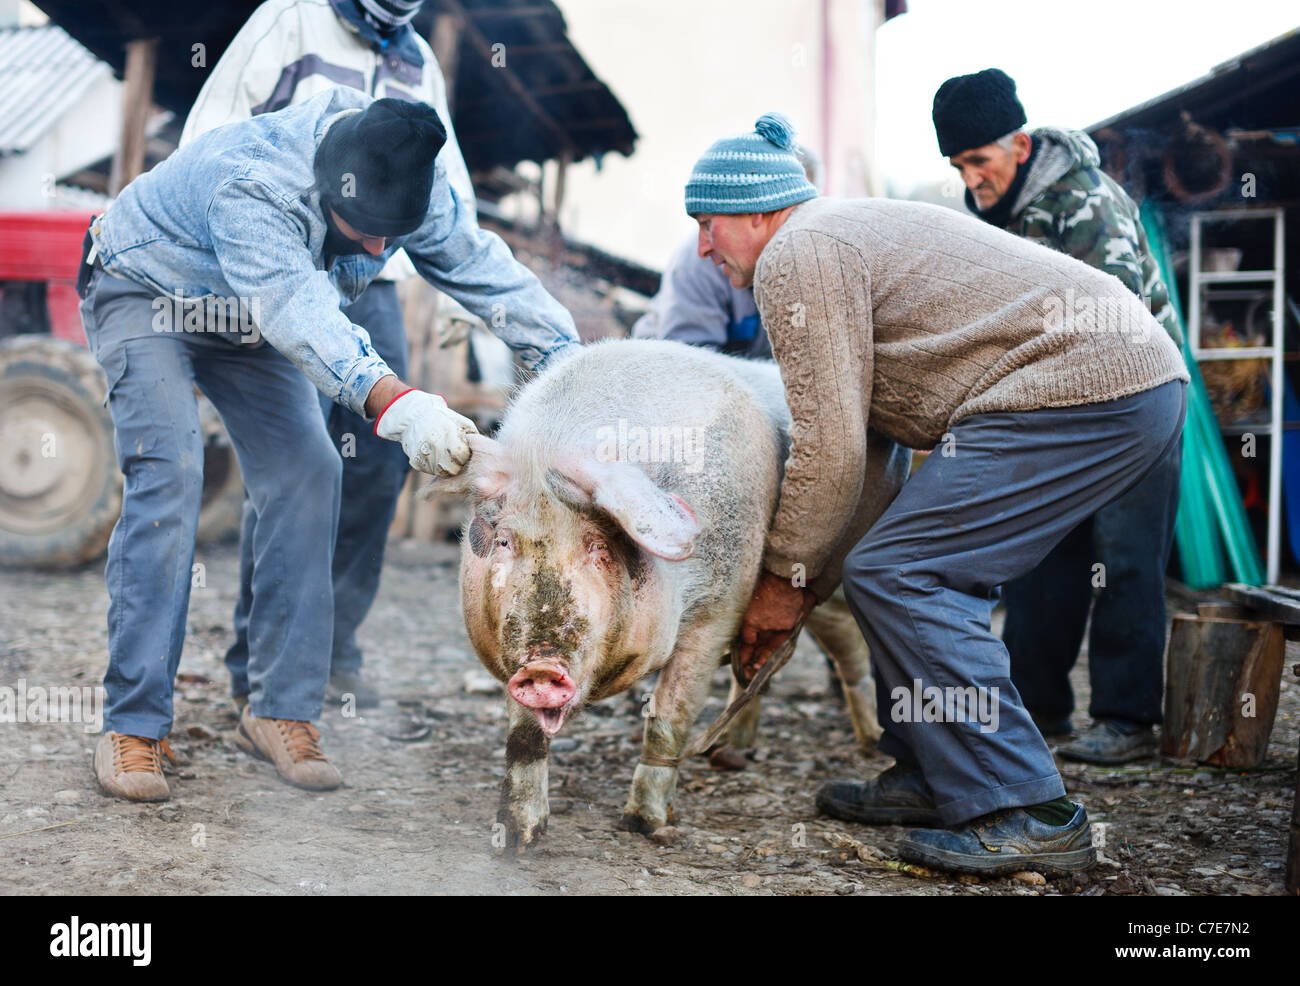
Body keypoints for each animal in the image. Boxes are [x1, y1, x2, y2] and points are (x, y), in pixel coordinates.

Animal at [430, 339, 908, 848]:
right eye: (504, 542)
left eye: (598, 546)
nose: (542, 667)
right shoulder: (509, 652)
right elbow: (525, 739)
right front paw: (518, 838)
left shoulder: (717, 613)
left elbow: (669, 720)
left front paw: (645, 825)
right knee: (756, 672)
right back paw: (730, 753)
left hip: (820, 586)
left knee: (848, 651)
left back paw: (870, 745)